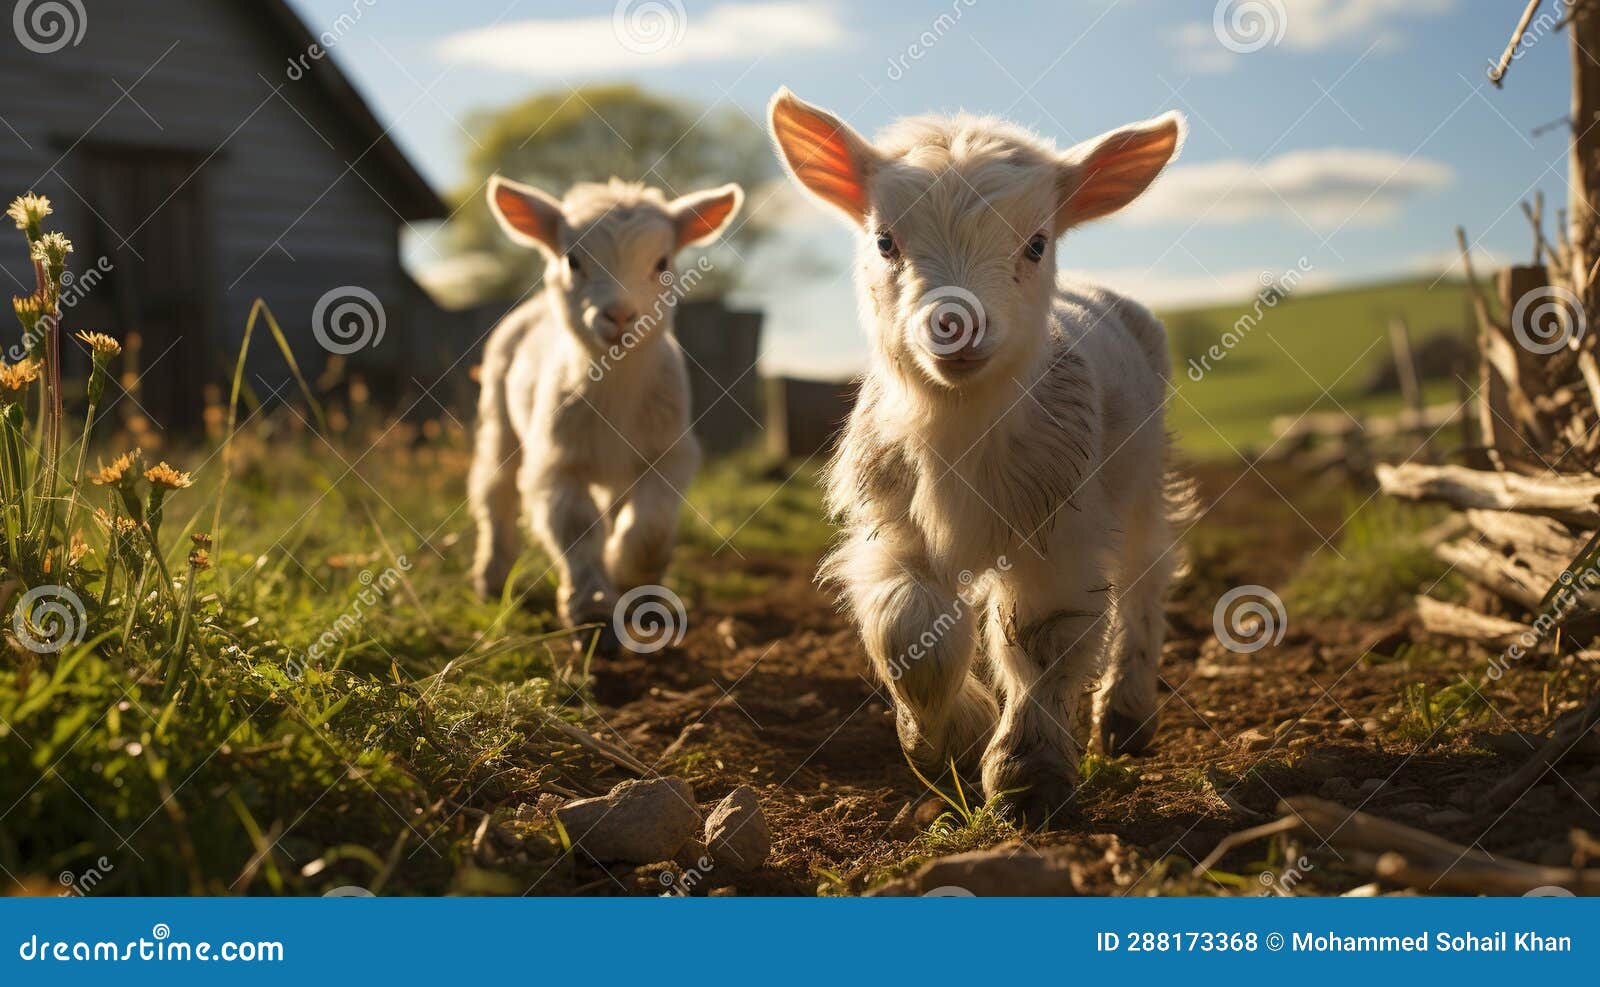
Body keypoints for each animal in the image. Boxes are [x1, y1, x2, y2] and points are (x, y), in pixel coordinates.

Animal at [469, 175, 742, 653]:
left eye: (662, 262)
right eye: (572, 260)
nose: (619, 315)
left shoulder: (668, 454)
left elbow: (650, 529)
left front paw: (628, 576)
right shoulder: (557, 462)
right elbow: (577, 527)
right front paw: (593, 610)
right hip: (499, 416)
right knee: (494, 490)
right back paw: (491, 577)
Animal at [769, 89, 1188, 827]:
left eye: (1036, 243)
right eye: (885, 241)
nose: (954, 325)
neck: (956, 434)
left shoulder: (1060, 525)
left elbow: (1041, 638)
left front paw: (1027, 781)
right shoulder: (891, 526)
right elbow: (909, 633)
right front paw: (951, 737)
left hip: (1139, 473)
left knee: (1147, 572)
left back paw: (1126, 715)